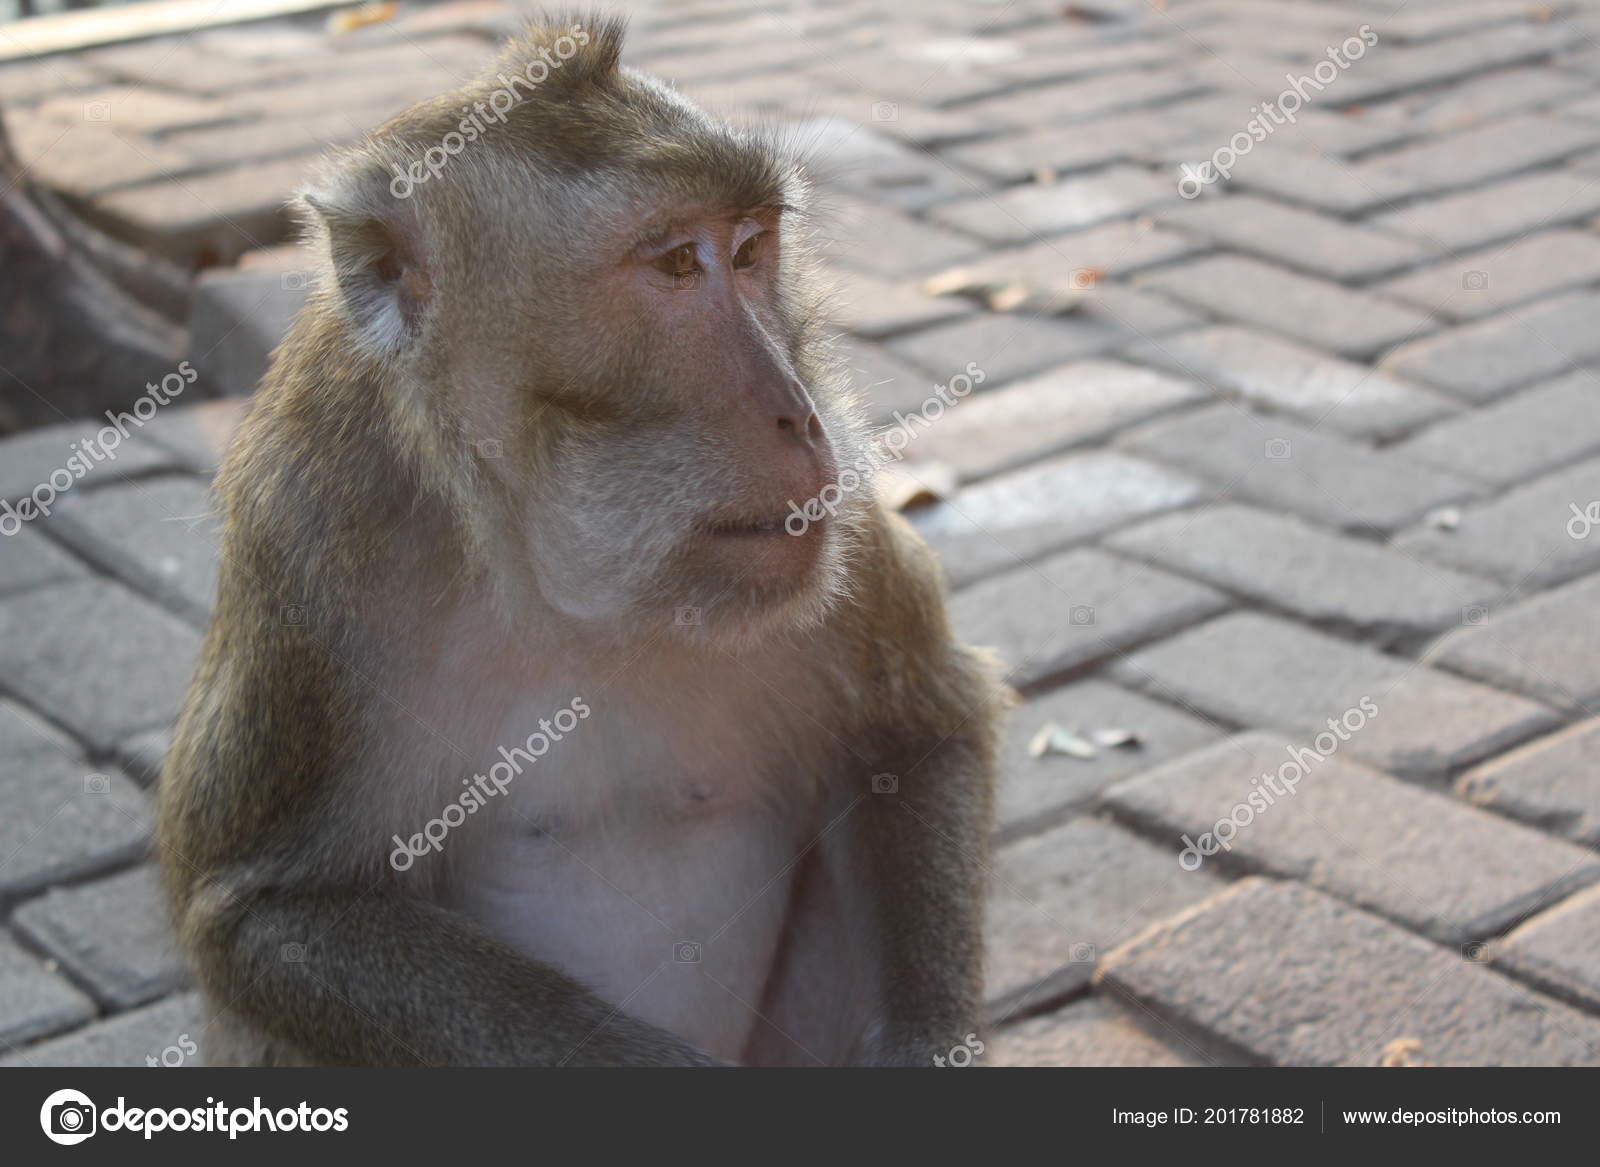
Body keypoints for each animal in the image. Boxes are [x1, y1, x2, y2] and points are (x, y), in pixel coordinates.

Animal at [156, 12, 1010, 1067]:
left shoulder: (834, 532)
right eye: (678, 263)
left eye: (751, 247)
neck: (569, 585)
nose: (801, 416)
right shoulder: (313, 534)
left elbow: (921, 728)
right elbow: (267, 908)